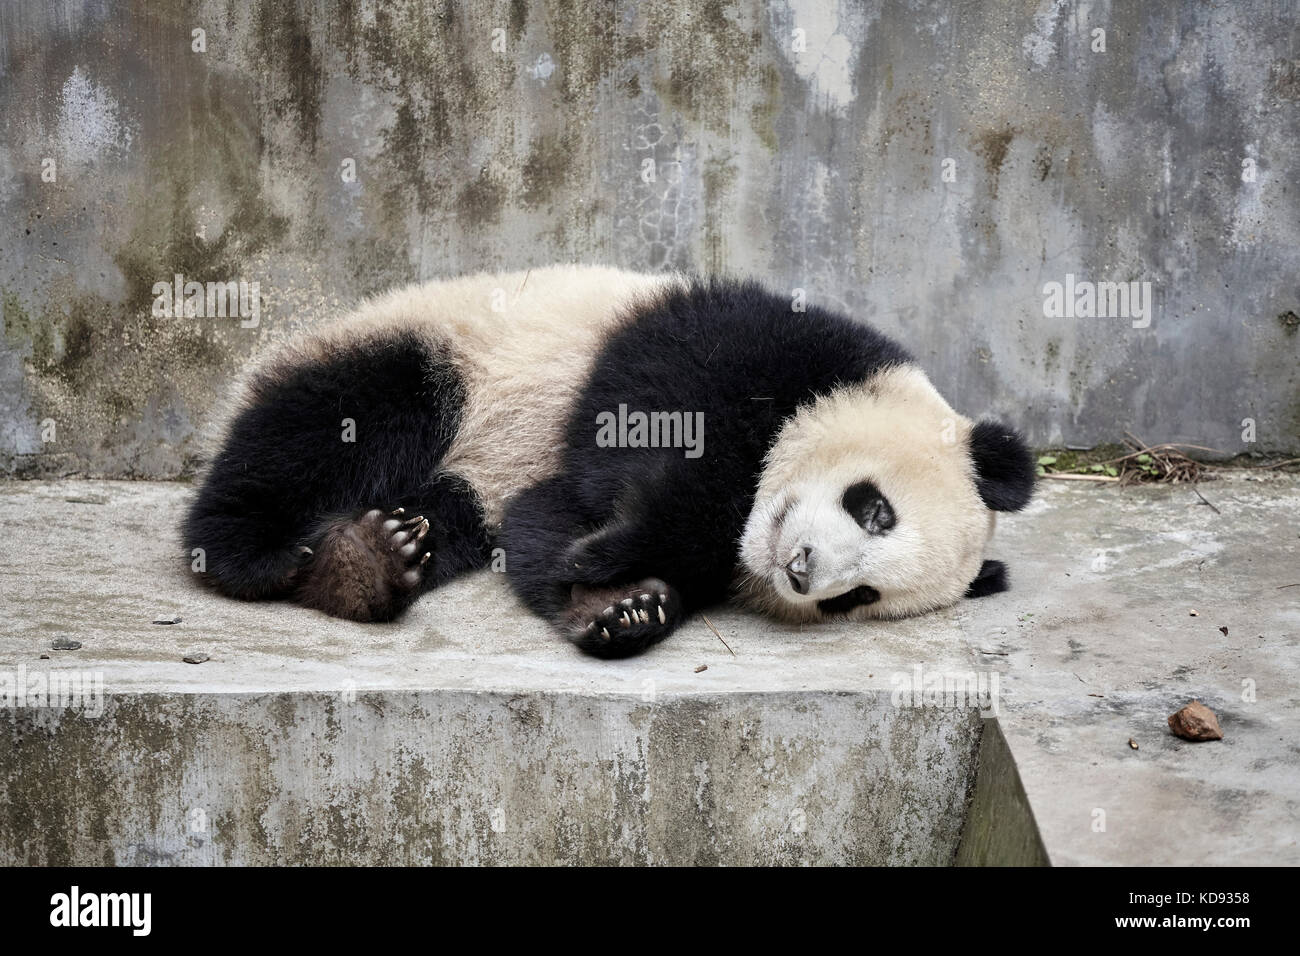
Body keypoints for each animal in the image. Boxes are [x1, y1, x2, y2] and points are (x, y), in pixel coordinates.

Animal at [183, 264, 1035, 658]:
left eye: (855, 599)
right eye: (875, 508)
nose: (800, 570)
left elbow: (542, 526)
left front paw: (623, 604)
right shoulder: (741, 342)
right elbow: (652, 425)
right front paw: (619, 561)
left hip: (469, 477)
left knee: (453, 514)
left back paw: (367, 560)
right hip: (441, 347)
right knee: (332, 420)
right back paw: (256, 551)